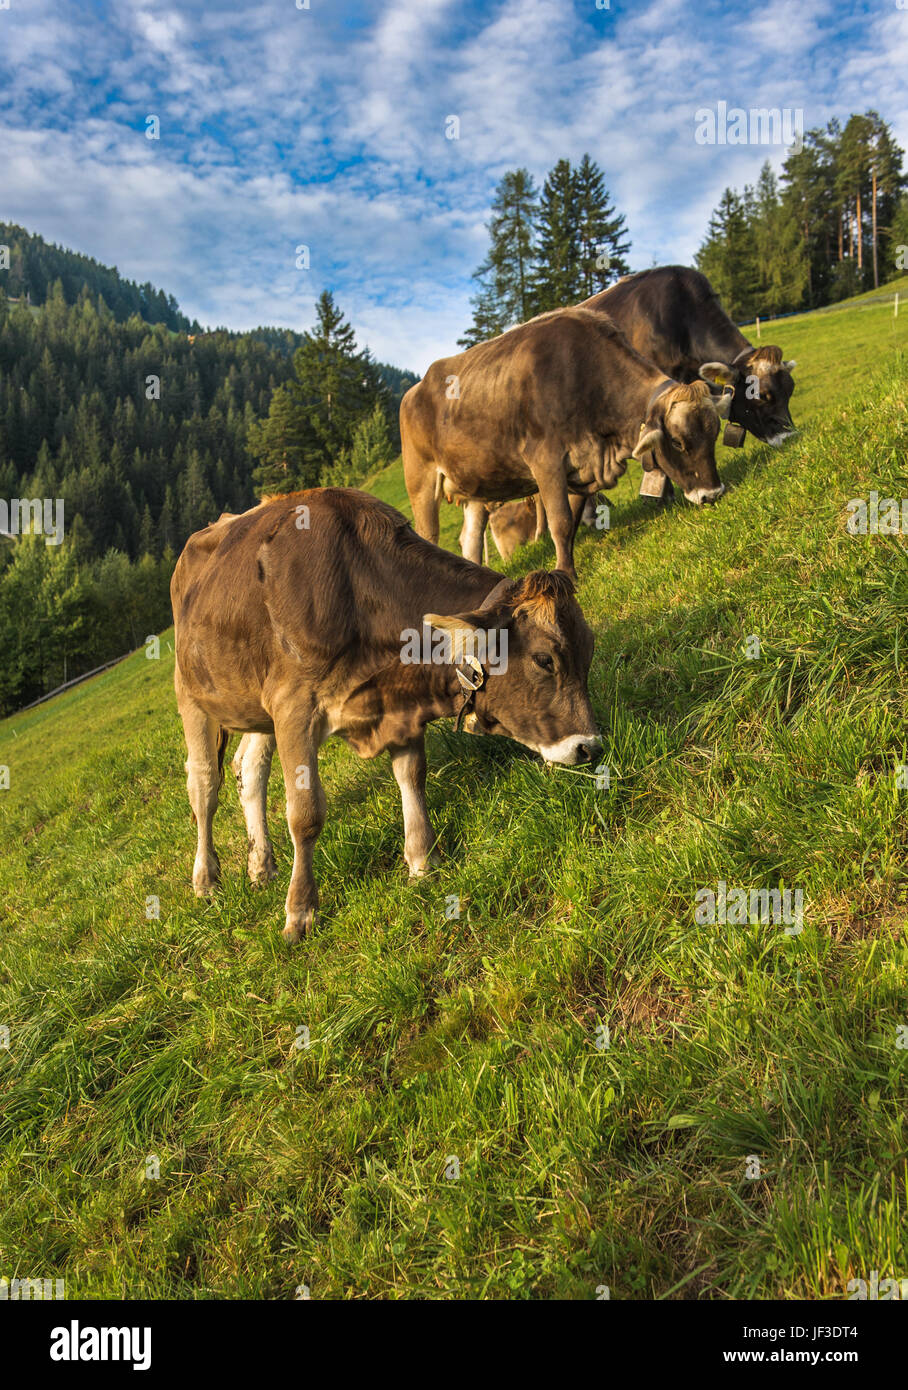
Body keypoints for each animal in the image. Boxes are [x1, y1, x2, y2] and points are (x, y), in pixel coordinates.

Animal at [170, 488, 601, 943]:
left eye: (588, 650)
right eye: (544, 659)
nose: (590, 747)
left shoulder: (395, 704)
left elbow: (412, 775)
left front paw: (422, 859)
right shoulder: (294, 708)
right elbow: (305, 814)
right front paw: (300, 912)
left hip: (257, 703)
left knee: (249, 769)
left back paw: (261, 866)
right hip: (191, 695)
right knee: (204, 785)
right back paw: (207, 879)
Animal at [401, 306, 729, 580]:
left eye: (714, 434)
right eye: (677, 442)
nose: (712, 494)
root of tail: (414, 390)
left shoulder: (582, 466)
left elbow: (569, 523)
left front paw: (567, 566)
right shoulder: (546, 461)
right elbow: (558, 521)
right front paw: (567, 575)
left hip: (474, 489)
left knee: (469, 540)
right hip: (421, 481)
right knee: (428, 535)